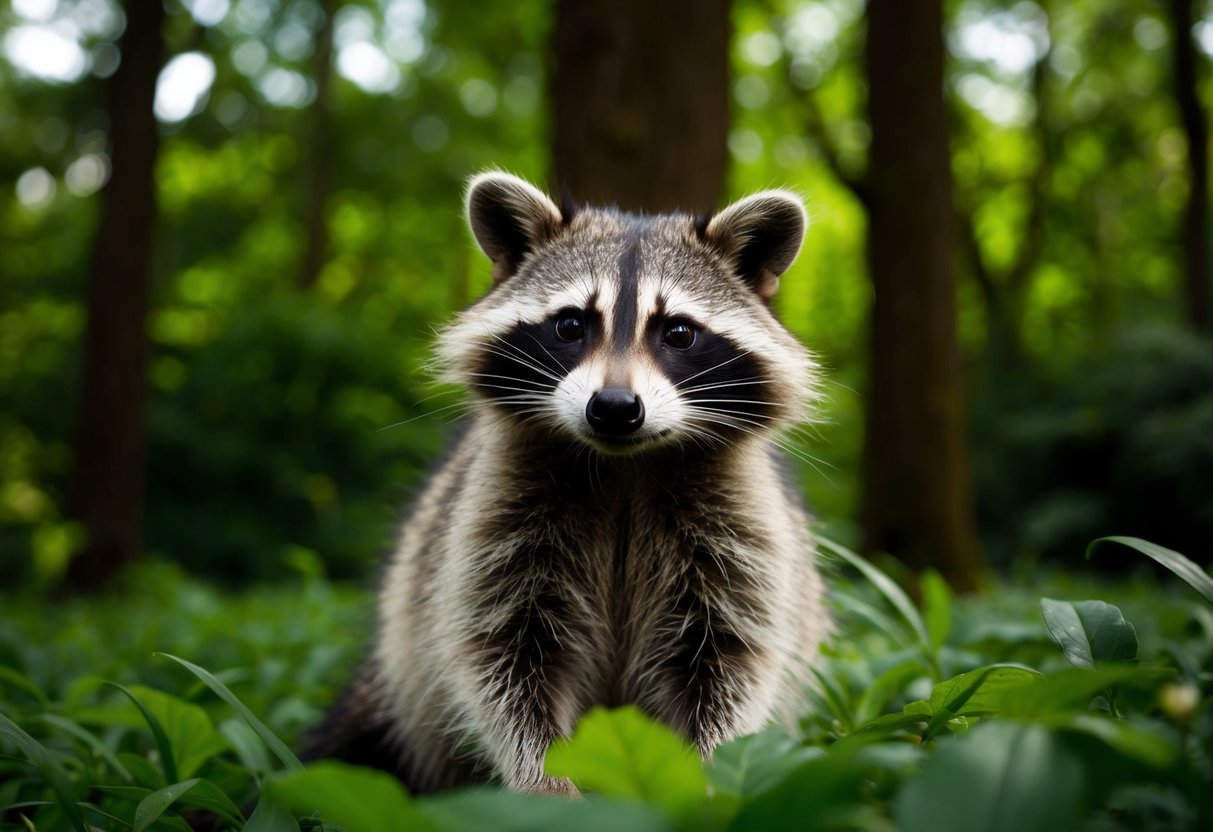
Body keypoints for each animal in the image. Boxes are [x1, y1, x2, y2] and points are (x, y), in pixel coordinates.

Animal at [306, 172, 830, 797]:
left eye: (678, 332)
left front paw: (706, 781)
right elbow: (504, 667)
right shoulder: (491, 528)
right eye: (571, 325)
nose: (615, 407)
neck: (624, 466)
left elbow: (729, 667)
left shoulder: (745, 538)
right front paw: (550, 791)